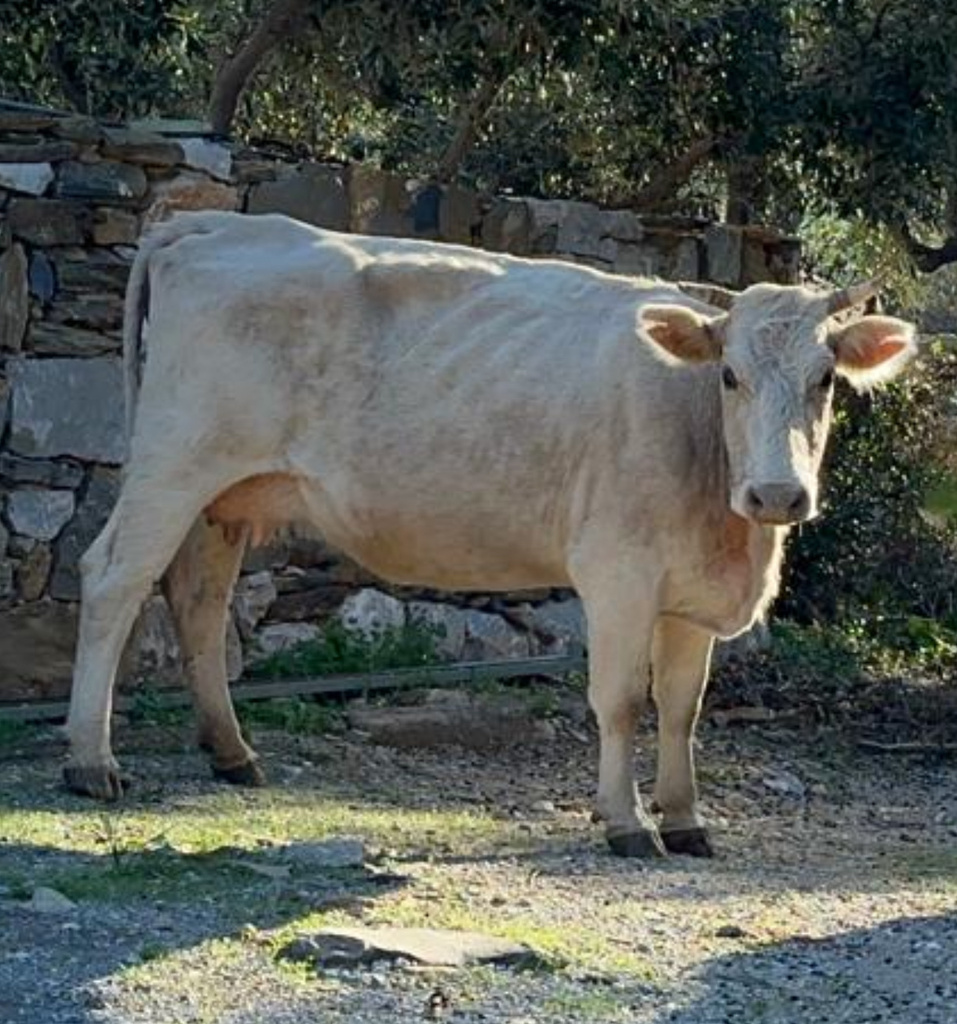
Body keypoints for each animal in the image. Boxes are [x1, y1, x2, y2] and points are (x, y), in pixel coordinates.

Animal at [63, 211, 916, 858]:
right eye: (729, 376)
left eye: (824, 380)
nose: (776, 494)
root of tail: (213, 222)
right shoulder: (618, 573)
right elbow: (619, 701)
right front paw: (626, 823)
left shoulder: (688, 590)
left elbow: (681, 707)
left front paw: (685, 821)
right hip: (173, 463)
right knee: (112, 580)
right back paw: (90, 761)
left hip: (225, 497)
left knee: (198, 603)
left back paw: (232, 752)